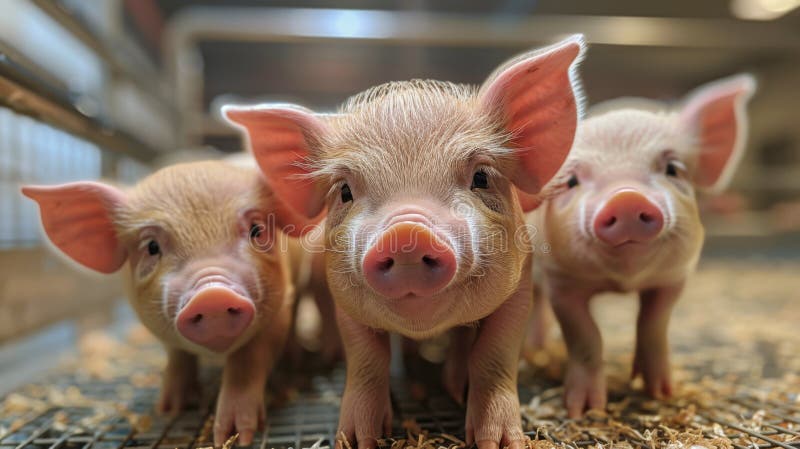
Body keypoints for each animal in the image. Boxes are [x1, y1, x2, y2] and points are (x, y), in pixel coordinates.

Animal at [22, 159, 326, 446]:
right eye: (151, 247)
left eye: (257, 230)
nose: (212, 296)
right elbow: (178, 357)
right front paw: (170, 410)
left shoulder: (279, 311)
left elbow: (249, 359)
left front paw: (234, 435)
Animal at [223, 35, 587, 449]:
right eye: (345, 191)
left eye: (481, 177)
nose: (407, 234)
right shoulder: (344, 301)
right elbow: (366, 361)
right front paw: (358, 439)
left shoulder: (519, 286)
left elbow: (495, 354)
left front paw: (497, 442)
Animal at [526, 74, 756, 417]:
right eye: (571, 182)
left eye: (672, 168)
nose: (626, 197)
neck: (623, 281)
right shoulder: (561, 281)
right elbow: (585, 336)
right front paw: (585, 409)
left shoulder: (673, 277)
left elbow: (654, 324)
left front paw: (661, 392)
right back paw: (537, 348)